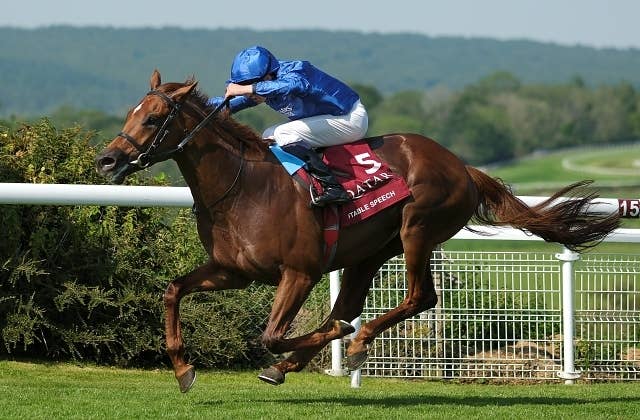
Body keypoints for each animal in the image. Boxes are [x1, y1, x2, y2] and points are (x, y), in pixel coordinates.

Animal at [95, 70, 619, 392]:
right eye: (129, 113)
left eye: (153, 117)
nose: (107, 159)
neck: (243, 186)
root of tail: (464, 167)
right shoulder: (233, 270)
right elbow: (172, 291)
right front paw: (184, 368)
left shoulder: (299, 271)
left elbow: (273, 334)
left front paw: (324, 344)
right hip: (369, 251)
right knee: (351, 305)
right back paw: (316, 354)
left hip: (417, 229)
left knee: (416, 298)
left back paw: (356, 340)